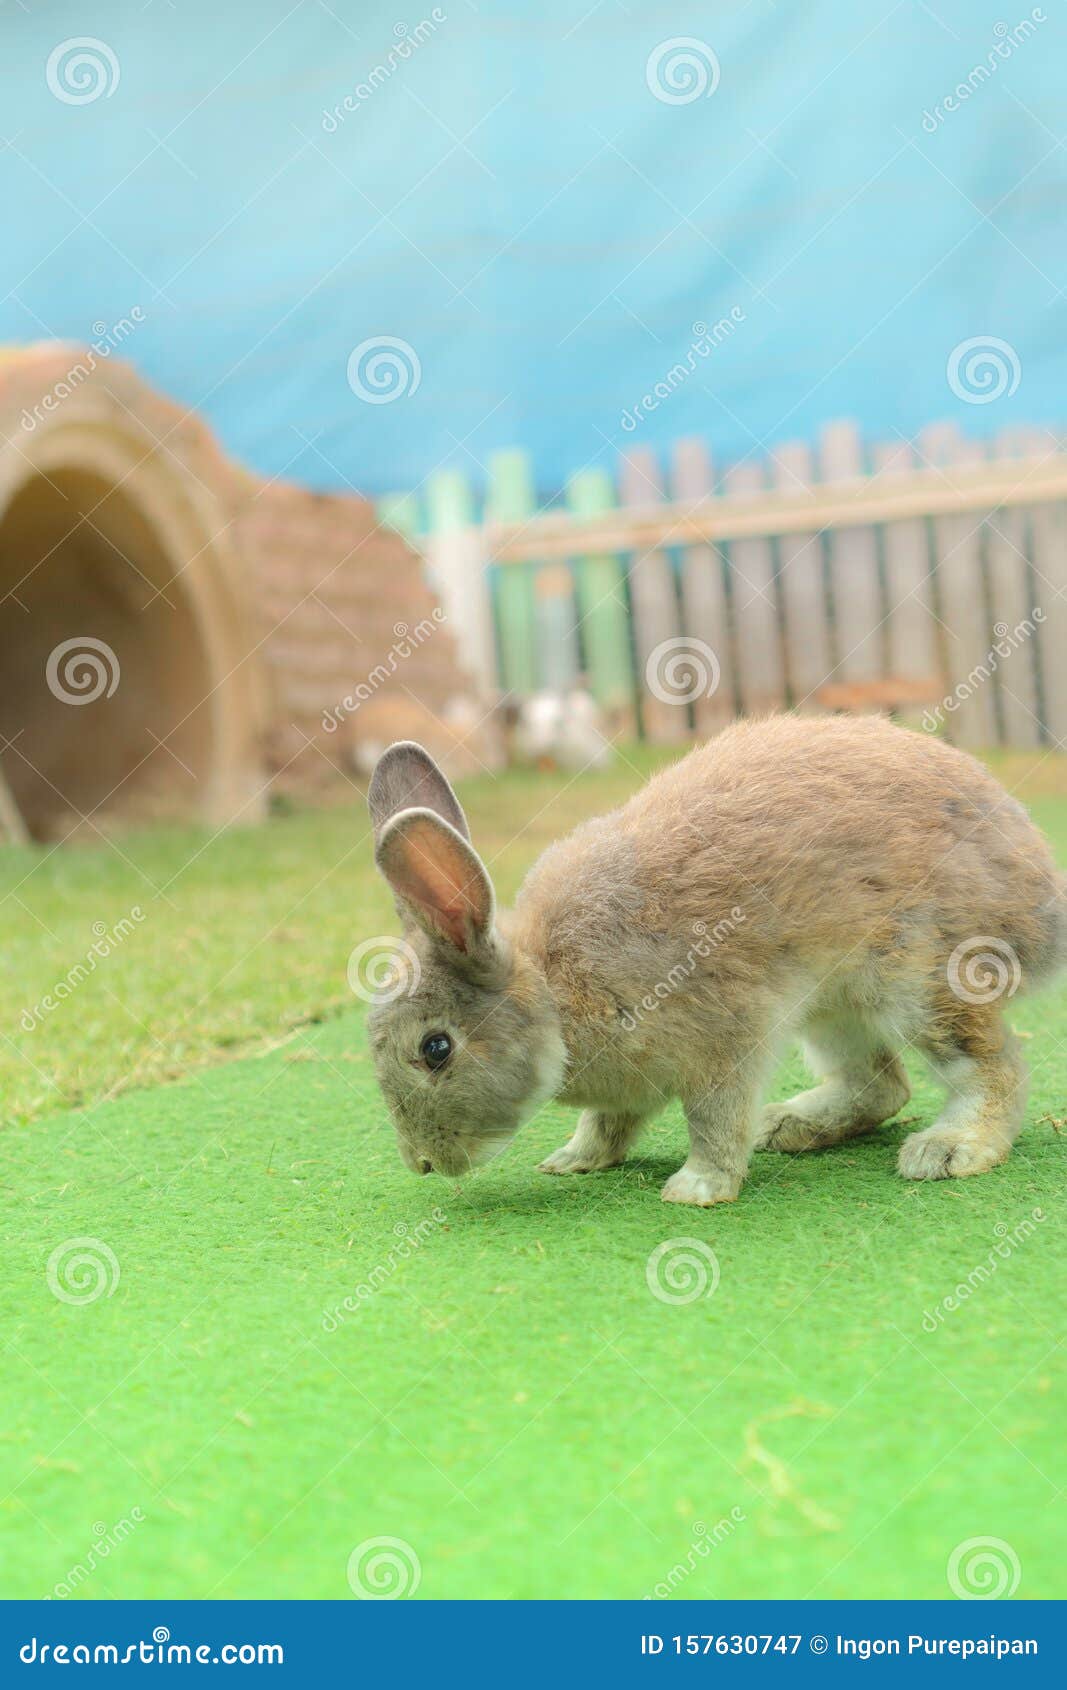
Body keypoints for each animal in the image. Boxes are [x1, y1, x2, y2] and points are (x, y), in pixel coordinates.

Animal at [365, 713, 1066, 1205]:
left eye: (436, 1049)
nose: (422, 1163)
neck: (553, 988)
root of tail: (1041, 898)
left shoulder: (724, 1038)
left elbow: (712, 1119)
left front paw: (696, 1189)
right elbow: (610, 1120)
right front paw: (574, 1160)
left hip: (924, 980)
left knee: (993, 1068)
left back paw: (948, 1149)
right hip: (829, 1006)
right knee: (880, 1085)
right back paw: (790, 1126)